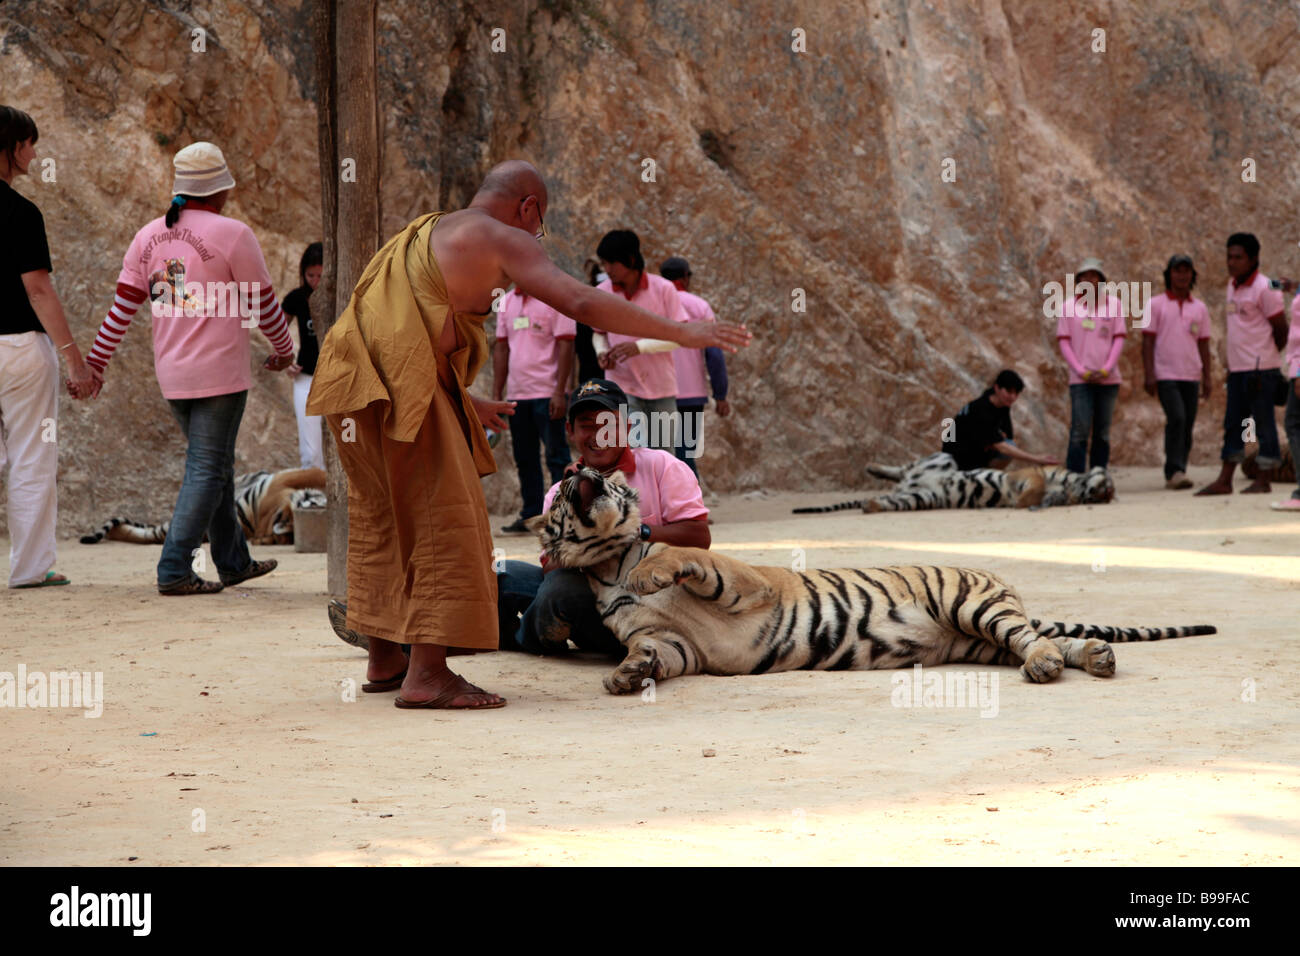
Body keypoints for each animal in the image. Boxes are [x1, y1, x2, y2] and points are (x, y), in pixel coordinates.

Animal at [534, 467, 1214, 695]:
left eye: (599, 474)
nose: (575, 468)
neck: (607, 565)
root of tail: (994, 575)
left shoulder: (743, 582)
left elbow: (683, 554)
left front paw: (652, 565)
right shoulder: (678, 645)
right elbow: (653, 652)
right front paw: (625, 676)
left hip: (972, 605)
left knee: (1035, 639)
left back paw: (1051, 666)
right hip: (979, 642)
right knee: (1047, 639)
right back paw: (1095, 656)